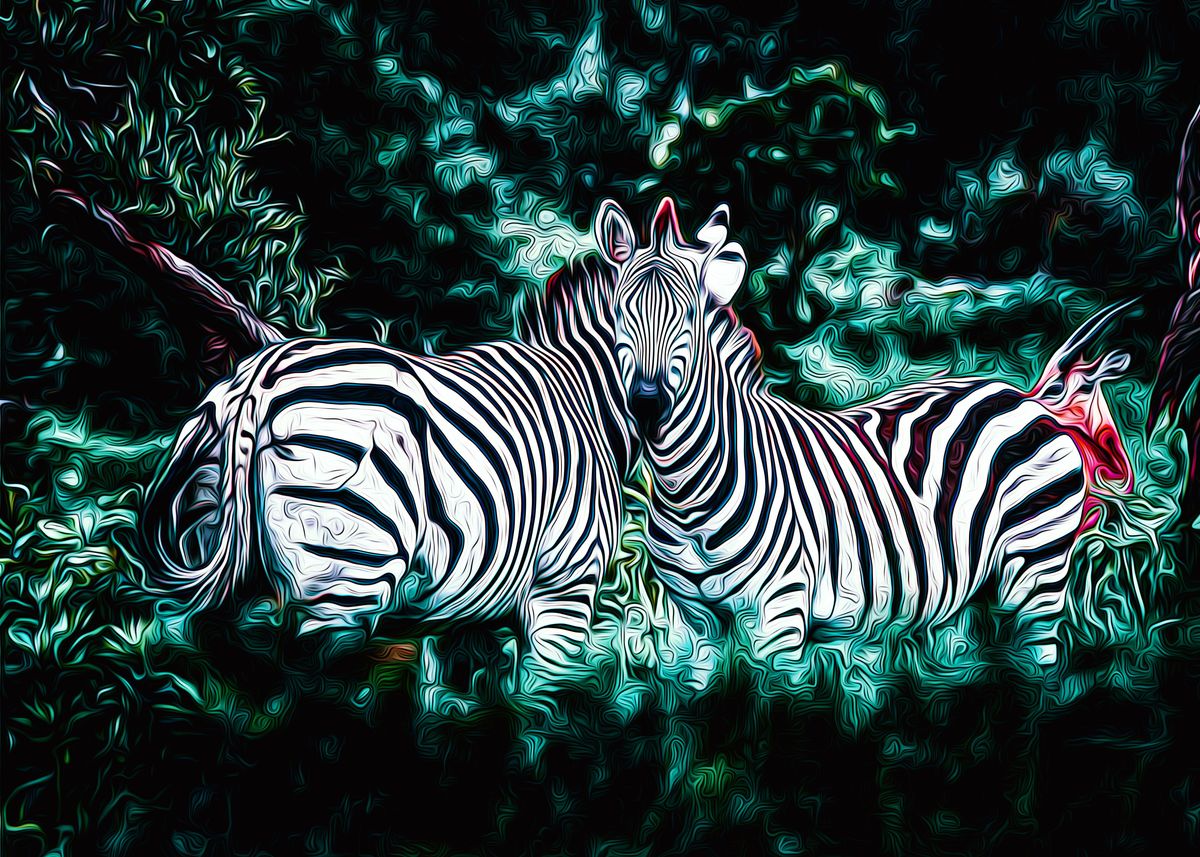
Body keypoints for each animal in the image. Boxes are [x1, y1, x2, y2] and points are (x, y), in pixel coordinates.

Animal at [141, 253, 637, 683]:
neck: (586, 392)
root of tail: (259, 382)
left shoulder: (472, 607)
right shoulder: (567, 583)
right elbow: (543, 690)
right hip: (344, 568)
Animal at [598, 196, 1132, 669]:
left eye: (689, 317)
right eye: (620, 313)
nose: (645, 404)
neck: (688, 488)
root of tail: (1029, 399)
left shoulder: (781, 612)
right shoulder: (694, 621)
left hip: (1039, 567)